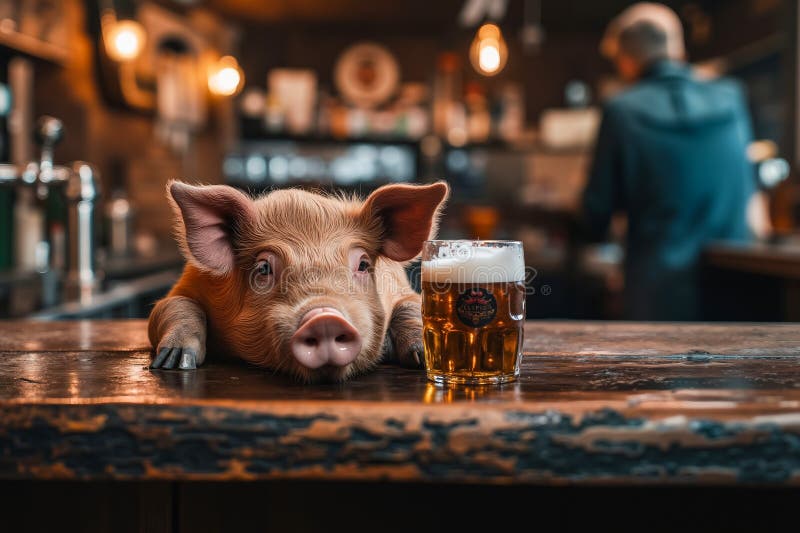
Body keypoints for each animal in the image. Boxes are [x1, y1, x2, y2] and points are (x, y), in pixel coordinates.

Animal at [148, 180, 449, 382]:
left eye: (363, 264)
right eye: (264, 268)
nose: (325, 317)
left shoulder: (402, 291)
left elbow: (411, 307)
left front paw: (421, 356)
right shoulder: (183, 290)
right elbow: (175, 306)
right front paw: (173, 362)